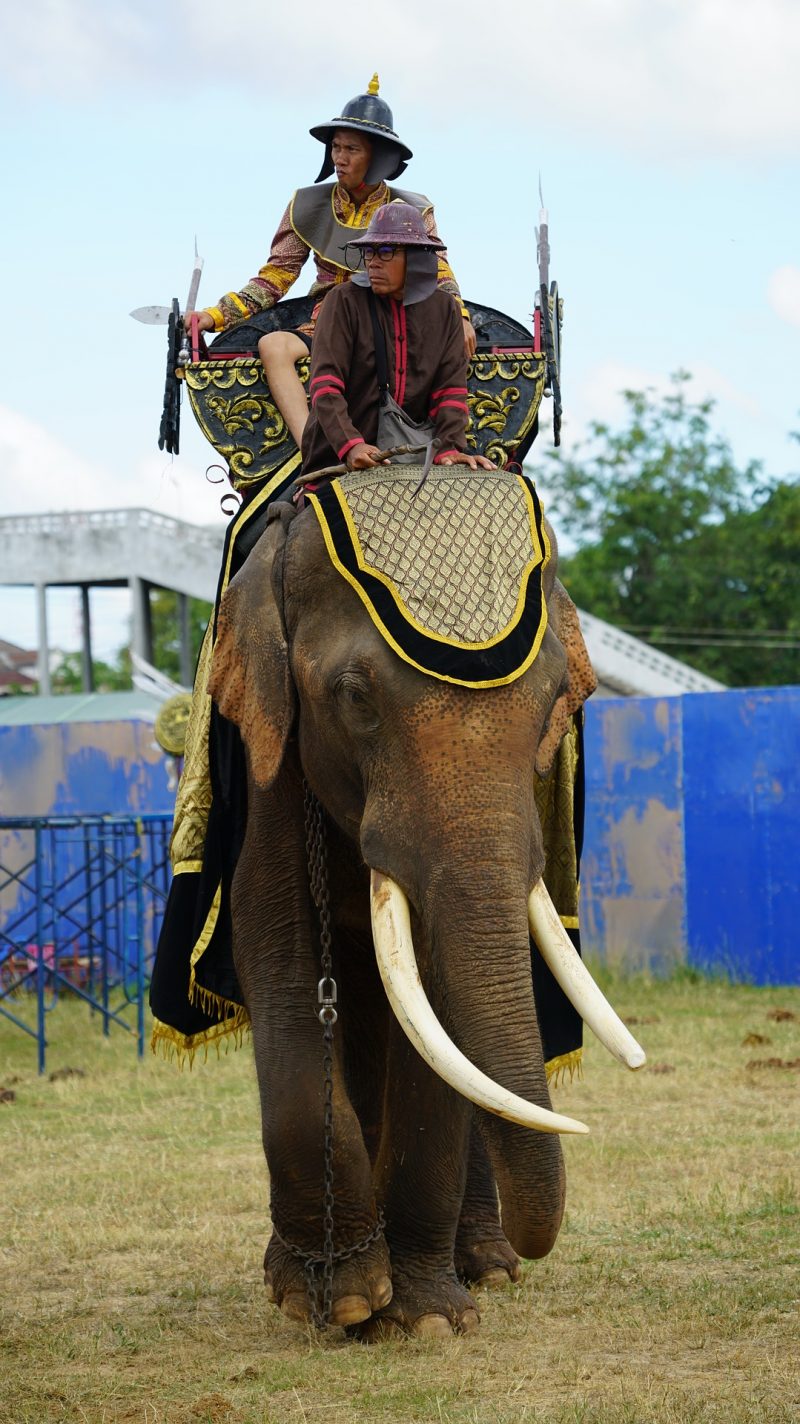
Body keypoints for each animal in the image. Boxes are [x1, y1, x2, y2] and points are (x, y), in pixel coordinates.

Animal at [207, 468, 644, 1338]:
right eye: (354, 698)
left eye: (556, 700)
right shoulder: (274, 767)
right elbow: (275, 953)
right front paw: (338, 1298)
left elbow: (440, 1029)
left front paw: (425, 1317)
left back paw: (484, 1266)